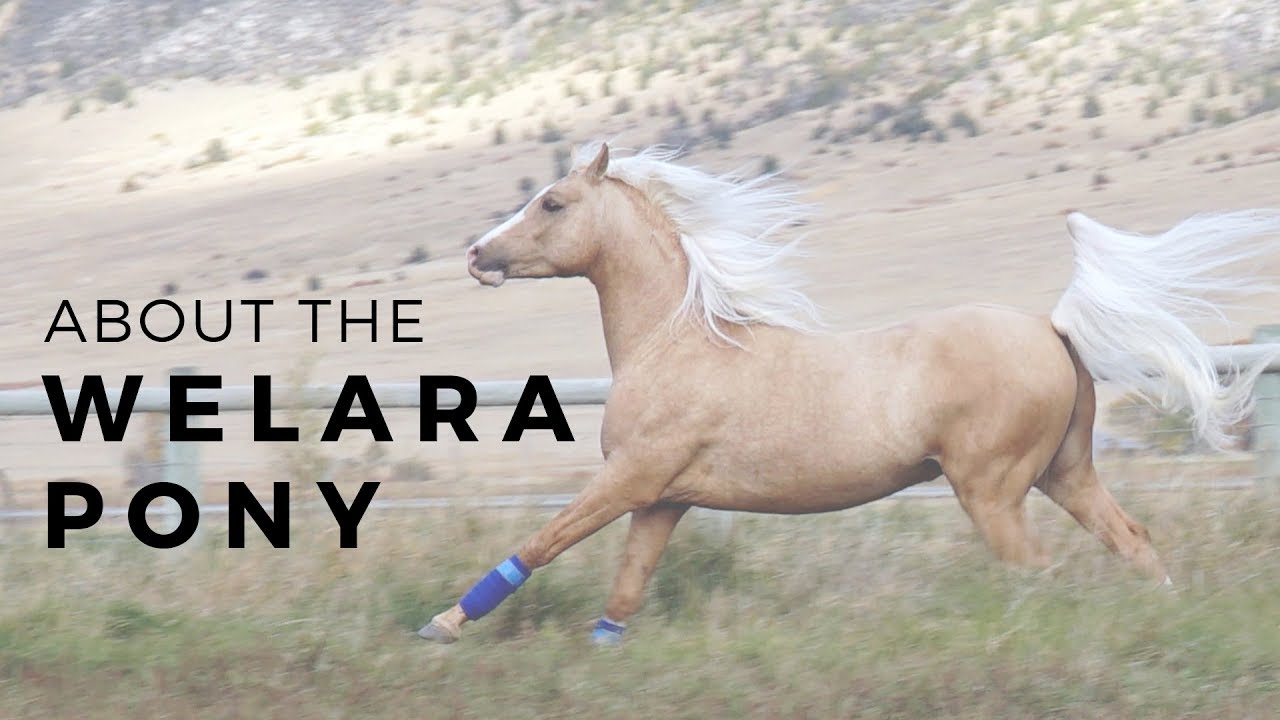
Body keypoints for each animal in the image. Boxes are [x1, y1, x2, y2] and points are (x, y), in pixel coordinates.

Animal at [418, 141, 1280, 645]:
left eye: (553, 203)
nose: (477, 256)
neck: (677, 340)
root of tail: (1052, 326)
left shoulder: (632, 479)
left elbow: (542, 541)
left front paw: (442, 624)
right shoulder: (662, 500)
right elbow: (623, 595)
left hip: (993, 491)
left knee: (1036, 572)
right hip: (1065, 475)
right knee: (1132, 544)